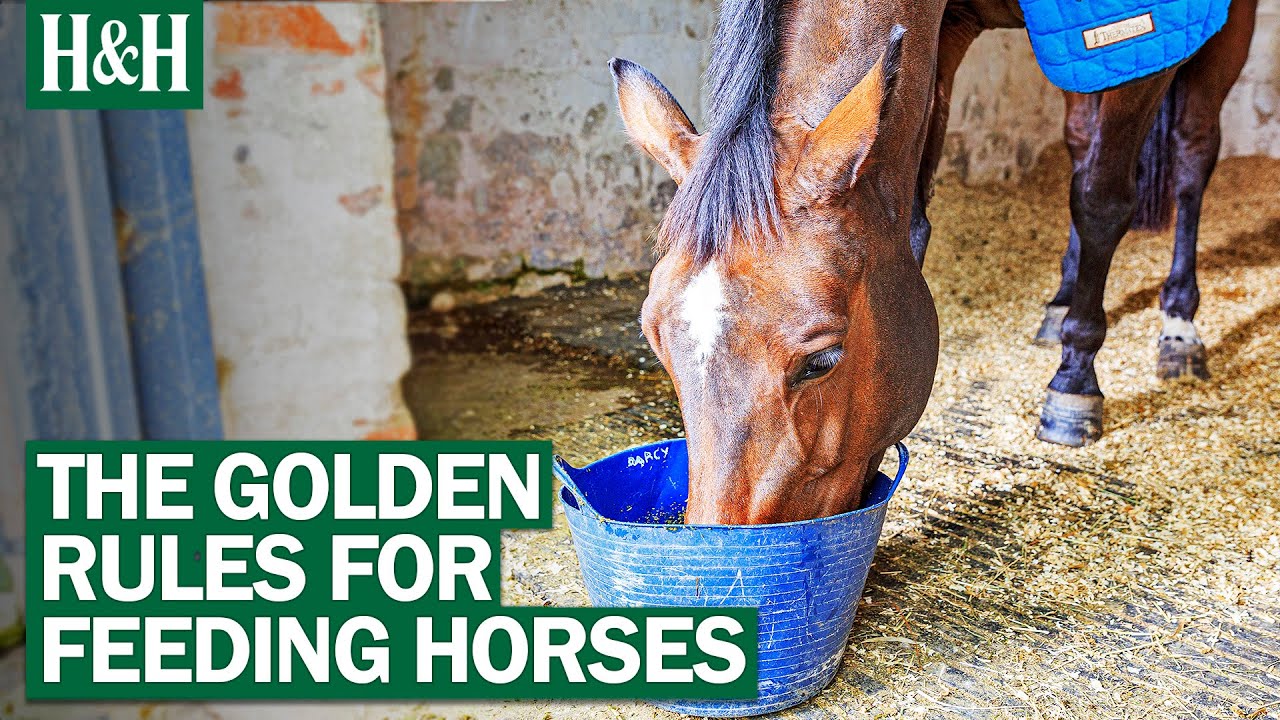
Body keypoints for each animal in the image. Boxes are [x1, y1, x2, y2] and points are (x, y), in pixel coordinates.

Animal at [610, 0, 1251, 524]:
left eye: (822, 362)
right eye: (656, 342)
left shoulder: (1130, 33)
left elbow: (1100, 199)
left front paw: (1075, 384)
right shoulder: (947, 34)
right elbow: (915, 217)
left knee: (1192, 153)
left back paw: (1178, 326)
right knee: (1079, 141)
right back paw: (1061, 304)